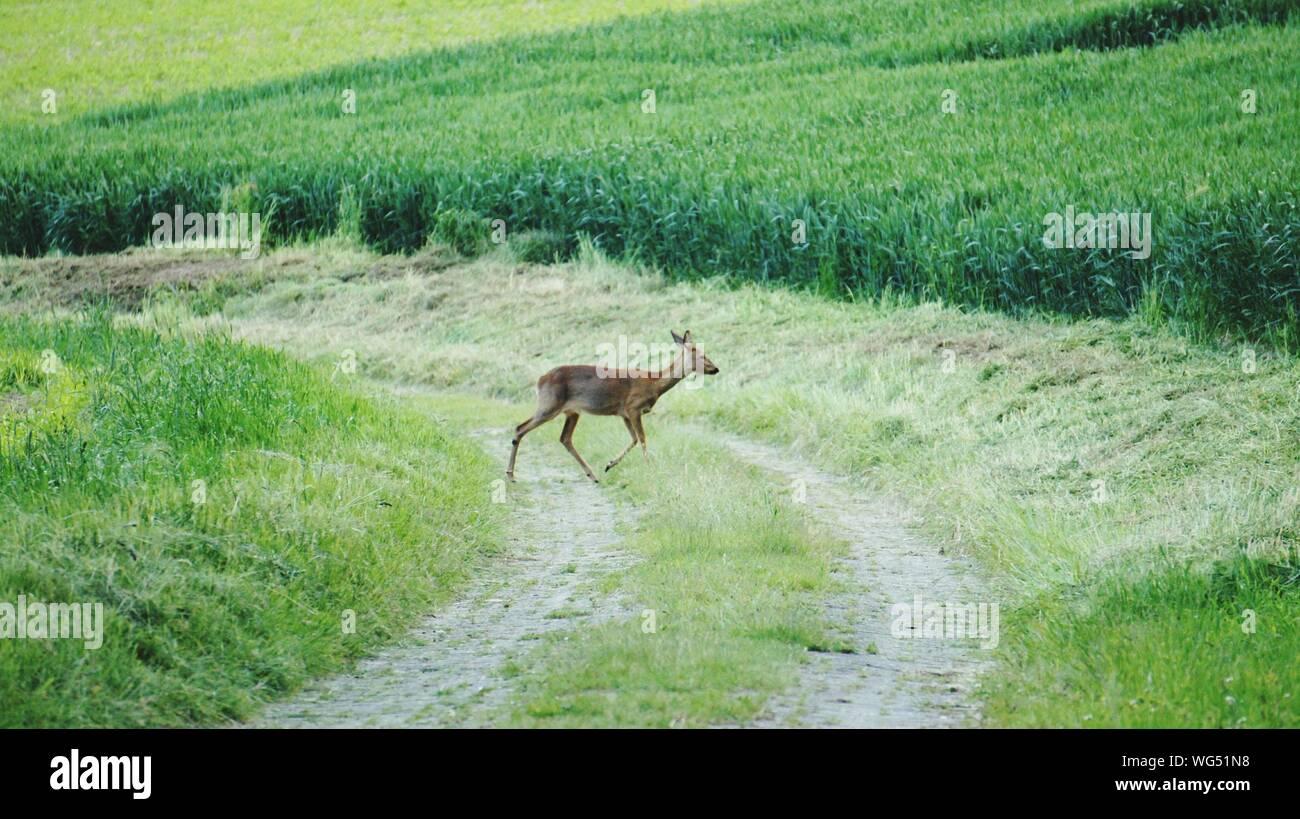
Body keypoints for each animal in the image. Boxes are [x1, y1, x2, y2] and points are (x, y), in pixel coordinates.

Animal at [506, 330, 719, 483]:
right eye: (703, 356)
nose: (716, 369)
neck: (654, 383)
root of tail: (539, 381)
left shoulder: (624, 413)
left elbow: (634, 439)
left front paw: (609, 464)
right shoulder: (633, 407)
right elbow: (642, 438)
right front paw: (650, 468)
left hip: (571, 411)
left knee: (564, 438)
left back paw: (592, 475)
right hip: (550, 404)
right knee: (520, 428)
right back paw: (510, 474)